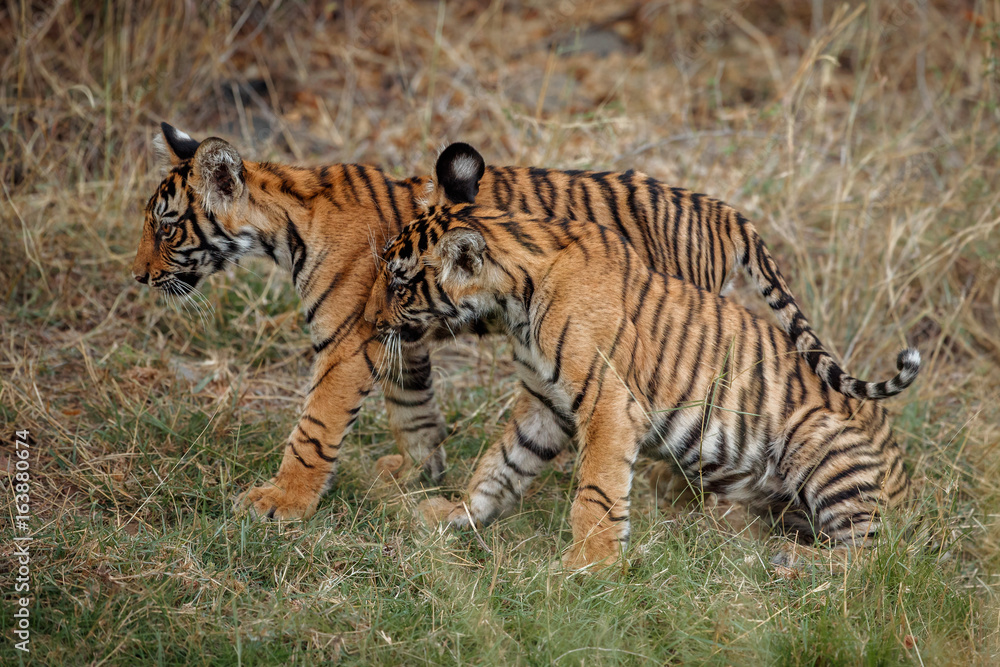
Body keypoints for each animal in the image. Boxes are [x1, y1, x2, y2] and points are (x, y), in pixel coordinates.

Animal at [132, 123, 903, 521]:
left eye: (167, 228)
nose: (136, 275)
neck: (289, 218)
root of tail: (725, 211)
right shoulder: (400, 334)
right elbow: (416, 409)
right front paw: (423, 477)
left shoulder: (350, 343)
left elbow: (314, 430)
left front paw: (281, 504)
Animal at [363, 198, 921, 569]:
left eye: (398, 283)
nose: (368, 321)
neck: (513, 305)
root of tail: (908, 484)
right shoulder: (544, 403)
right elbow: (500, 465)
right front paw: (456, 513)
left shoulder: (608, 403)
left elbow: (596, 490)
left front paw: (587, 566)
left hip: (822, 444)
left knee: (869, 558)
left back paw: (784, 561)